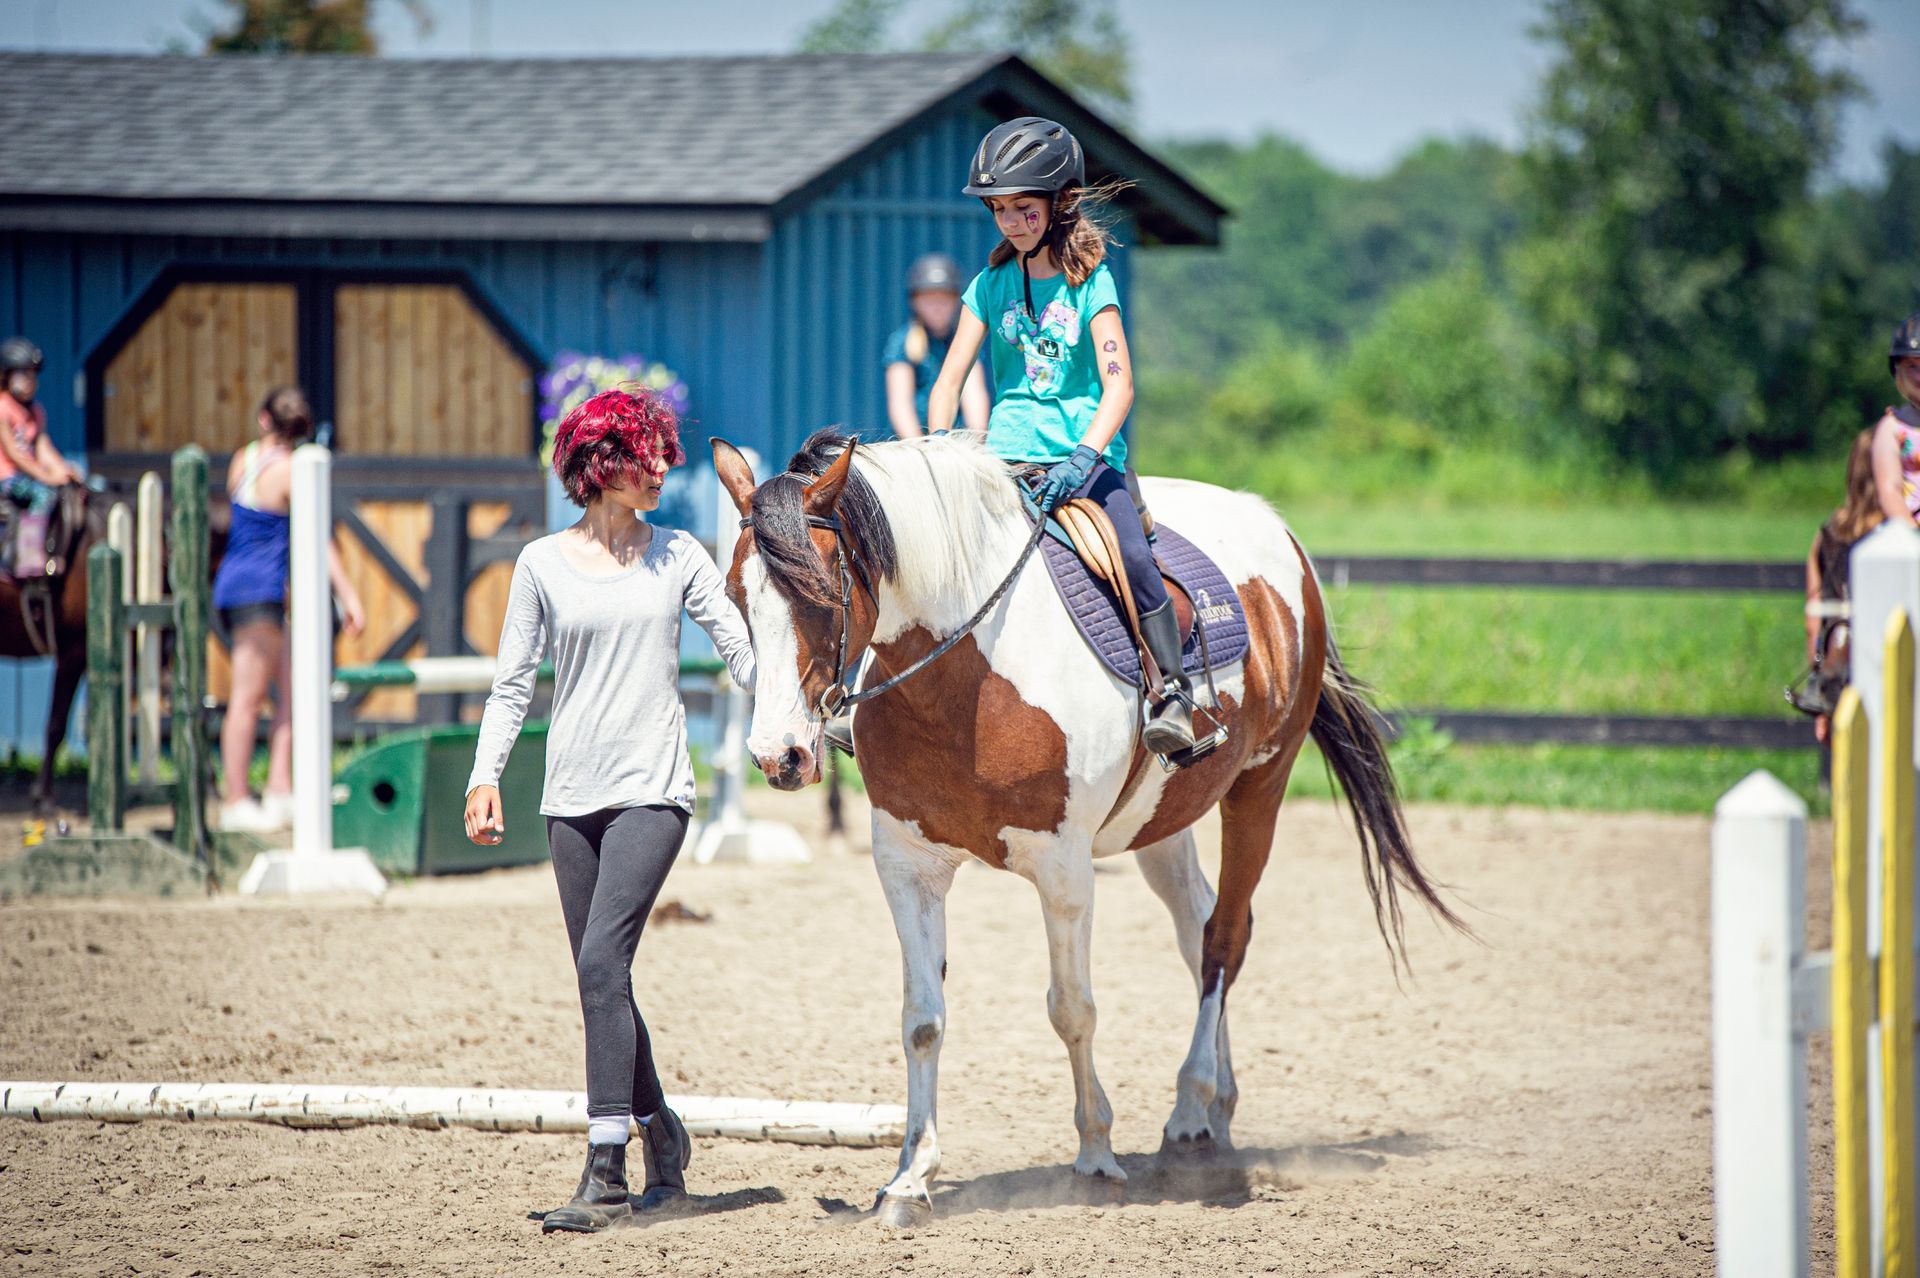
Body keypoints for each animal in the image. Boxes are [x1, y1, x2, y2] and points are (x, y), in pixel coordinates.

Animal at [711, 429, 1464, 1227]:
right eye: (736, 595)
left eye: (822, 597)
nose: (779, 755)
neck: (968, 680)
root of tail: (1273, 526)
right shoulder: (907, 865)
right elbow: (922, 1019)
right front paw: (909, 1180)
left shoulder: (1064, 869)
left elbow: (1072, 1009)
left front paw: (1097, 1157)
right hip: (1165, 819)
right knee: (1198, 928)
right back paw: (1217, 1113)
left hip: (1259, 787)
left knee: (1225, 940)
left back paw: (1188, 1114)